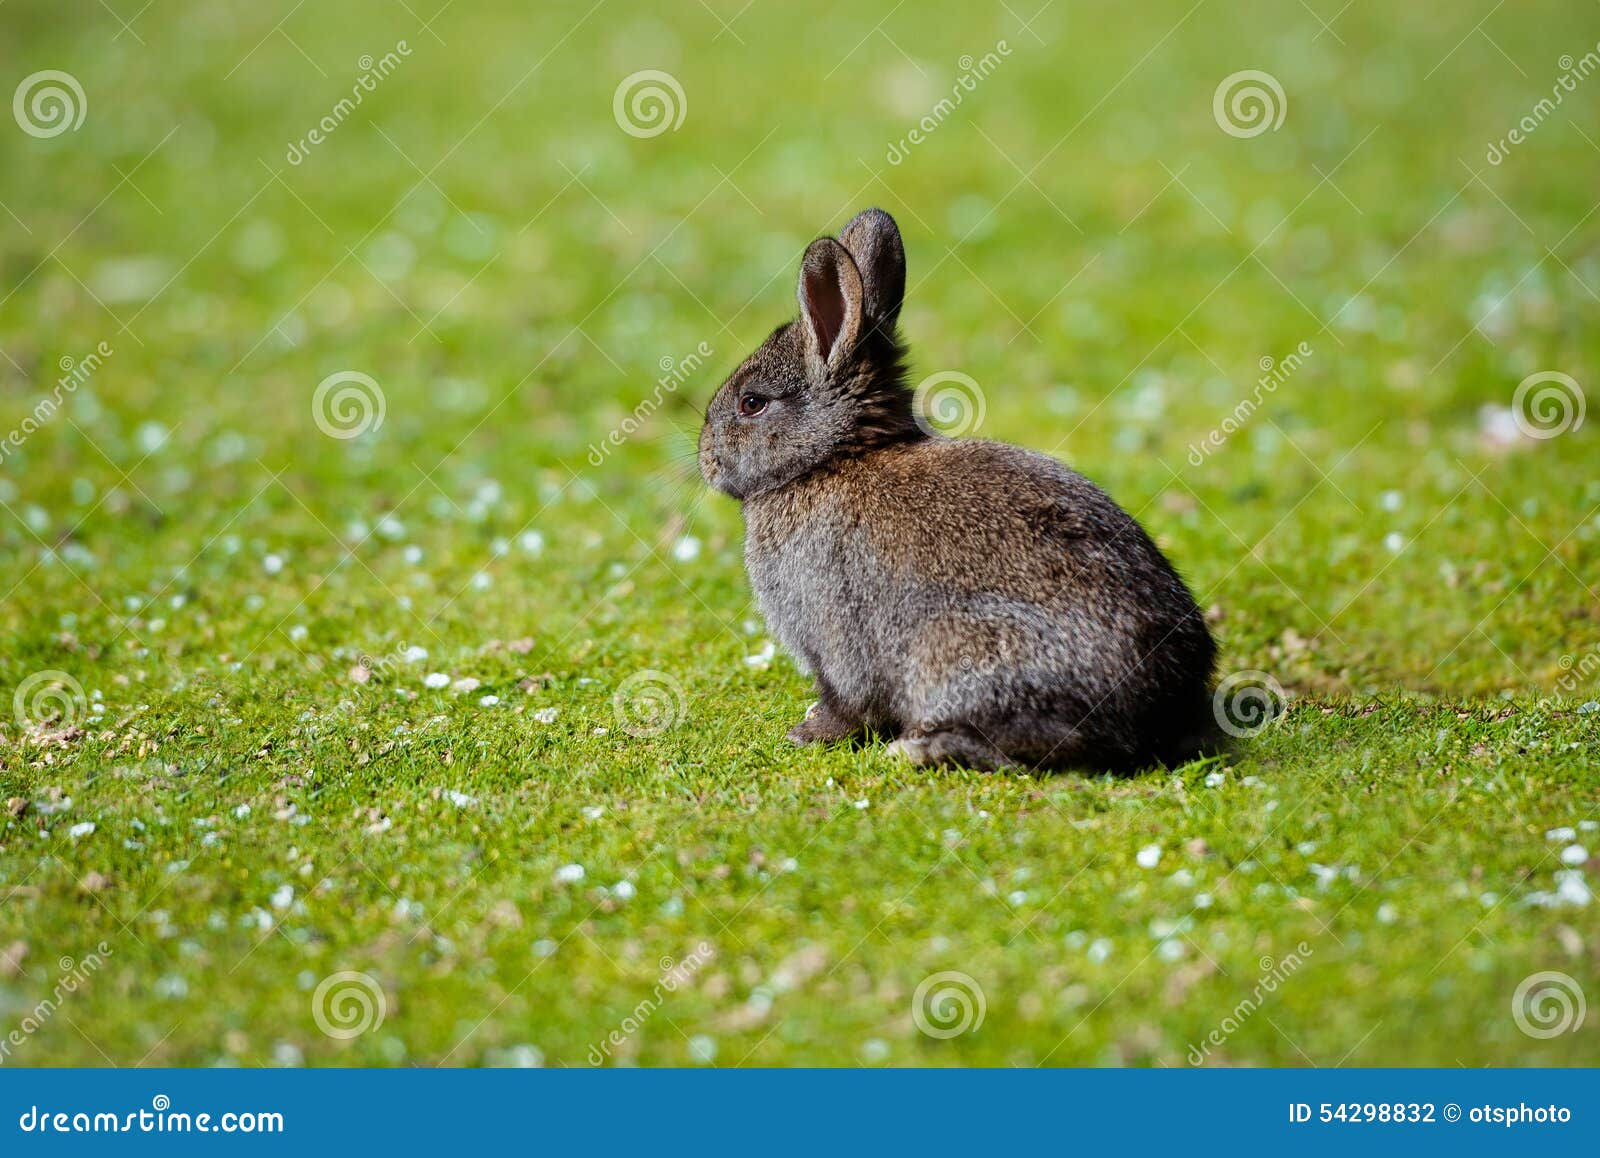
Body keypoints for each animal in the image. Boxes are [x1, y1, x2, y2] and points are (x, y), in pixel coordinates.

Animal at [698, 208, 1218, 771]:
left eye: (752, 403)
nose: (704, 460)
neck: (831, 458)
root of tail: (1166, 706)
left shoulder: (833, 631)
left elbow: (848, 699)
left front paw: (808, 733)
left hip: (963, 653)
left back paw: (918, 747)